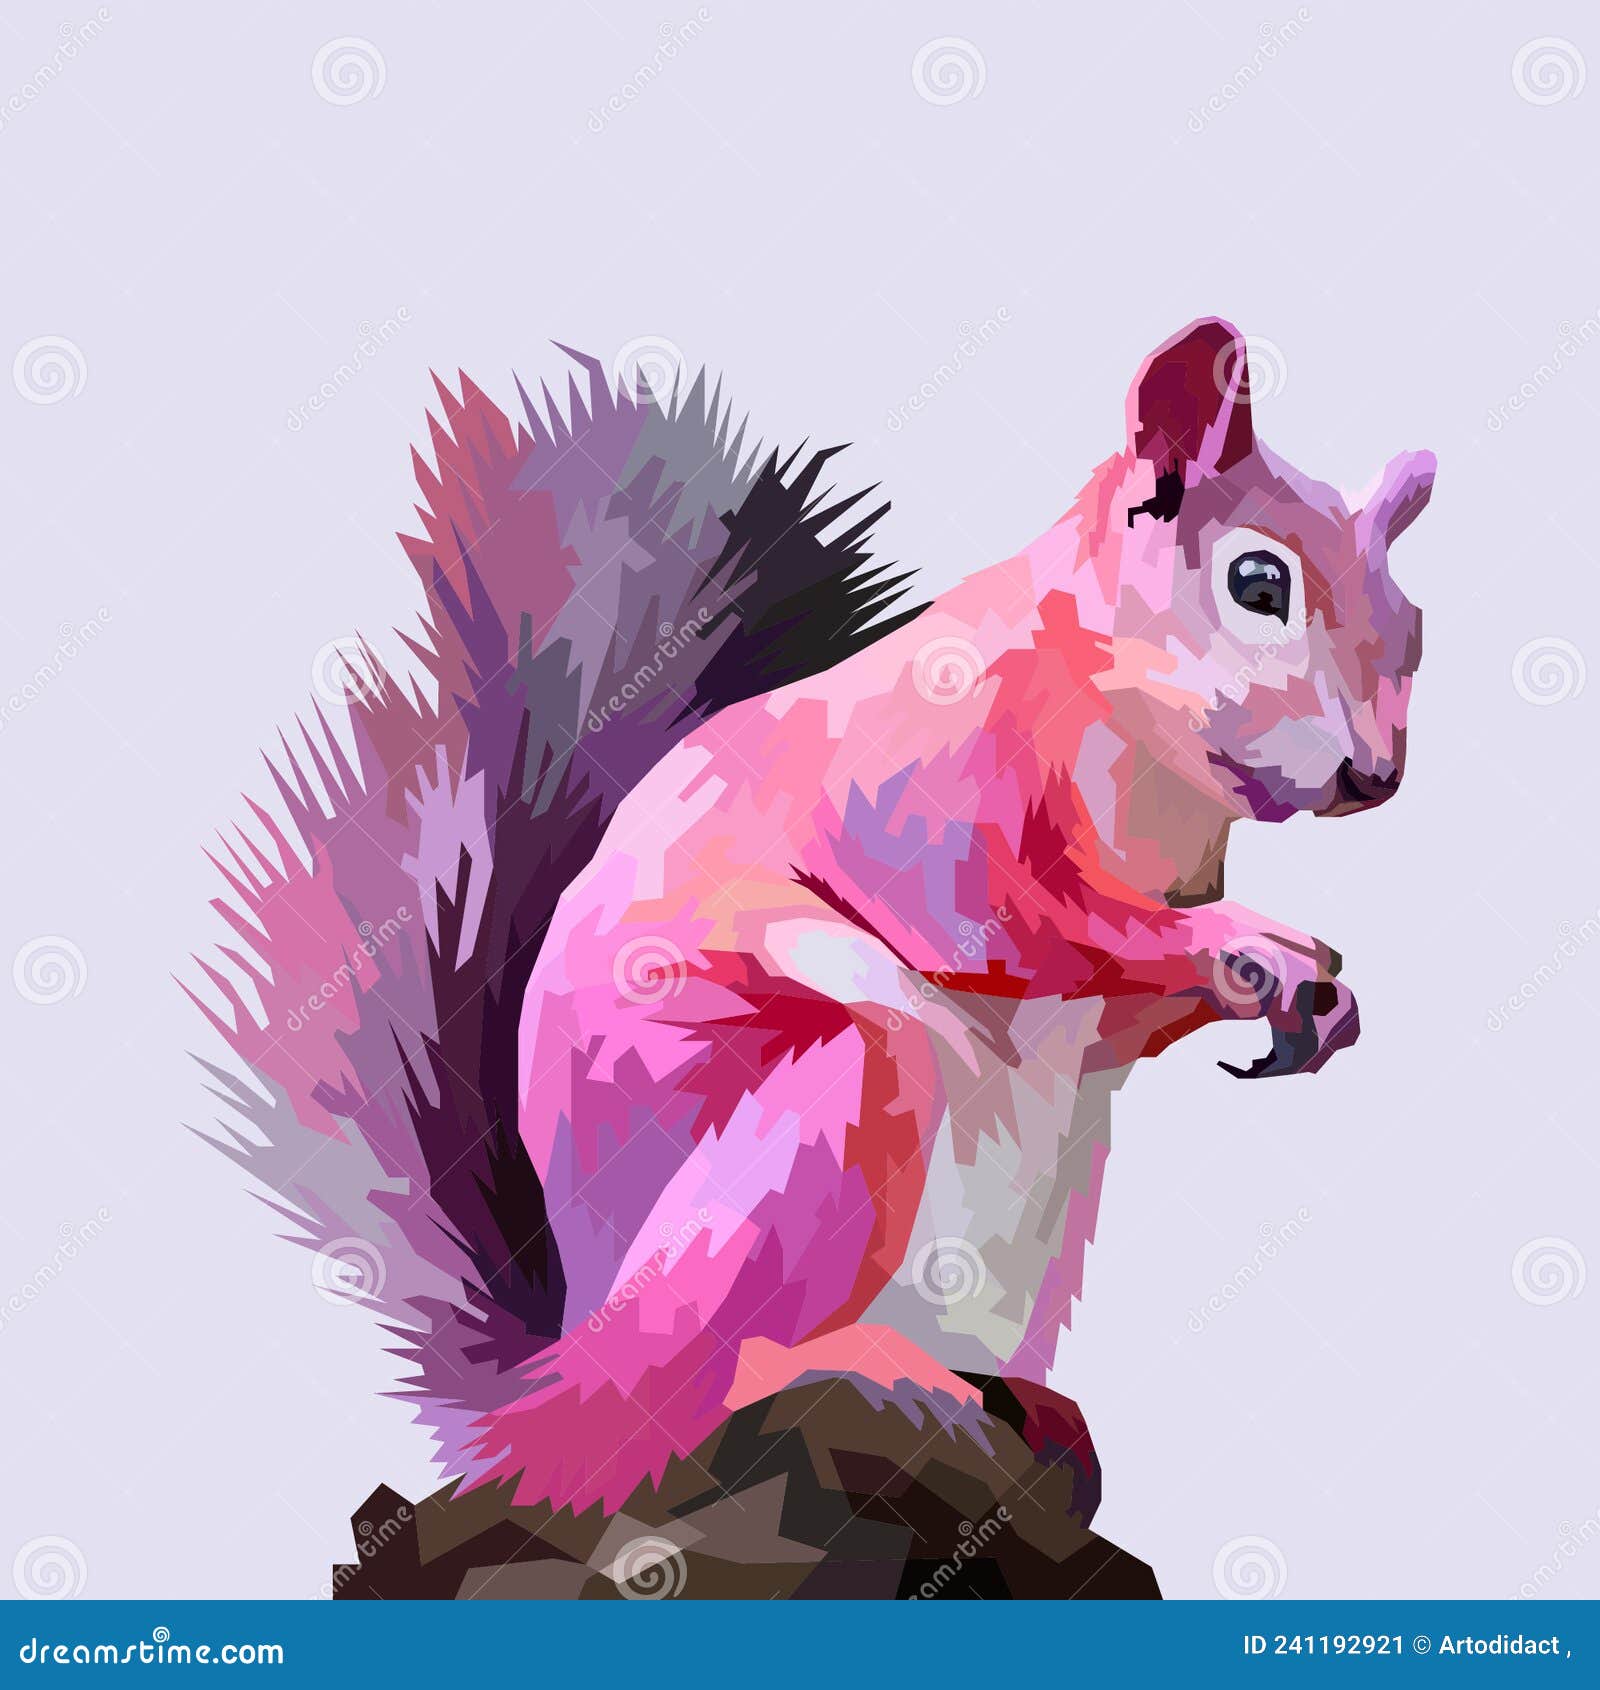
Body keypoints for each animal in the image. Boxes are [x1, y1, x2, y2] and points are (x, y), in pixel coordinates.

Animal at [195, 317, 1433, 1520]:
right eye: (1257, 583)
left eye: (1415, 620)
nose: (1375, 776)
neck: (1137, 740)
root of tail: (553, 1377)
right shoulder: (941, 789)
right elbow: (1018, 923)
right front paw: (1250, 946)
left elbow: (1122, 1011)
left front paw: (1300, 988)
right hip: (833, 1096)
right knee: (712, 1377)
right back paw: (867, 1367)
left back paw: (1031, 1409)